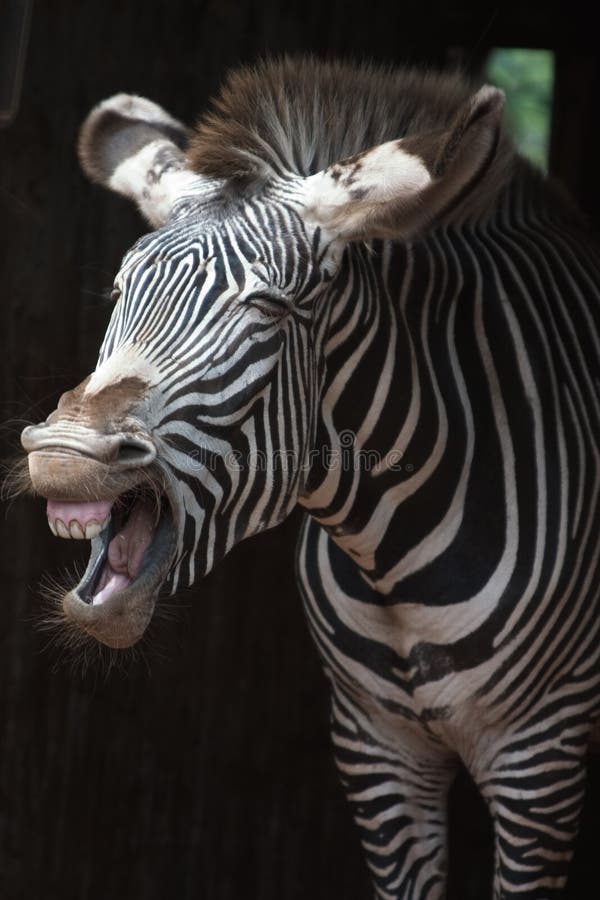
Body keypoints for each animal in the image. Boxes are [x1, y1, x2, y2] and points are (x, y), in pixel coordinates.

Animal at [20, 57, 600, 898]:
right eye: (122, 291)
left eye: (267, 308)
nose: (63, 452)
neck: (394, 564)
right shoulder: (375, 752)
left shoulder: (541, 755)